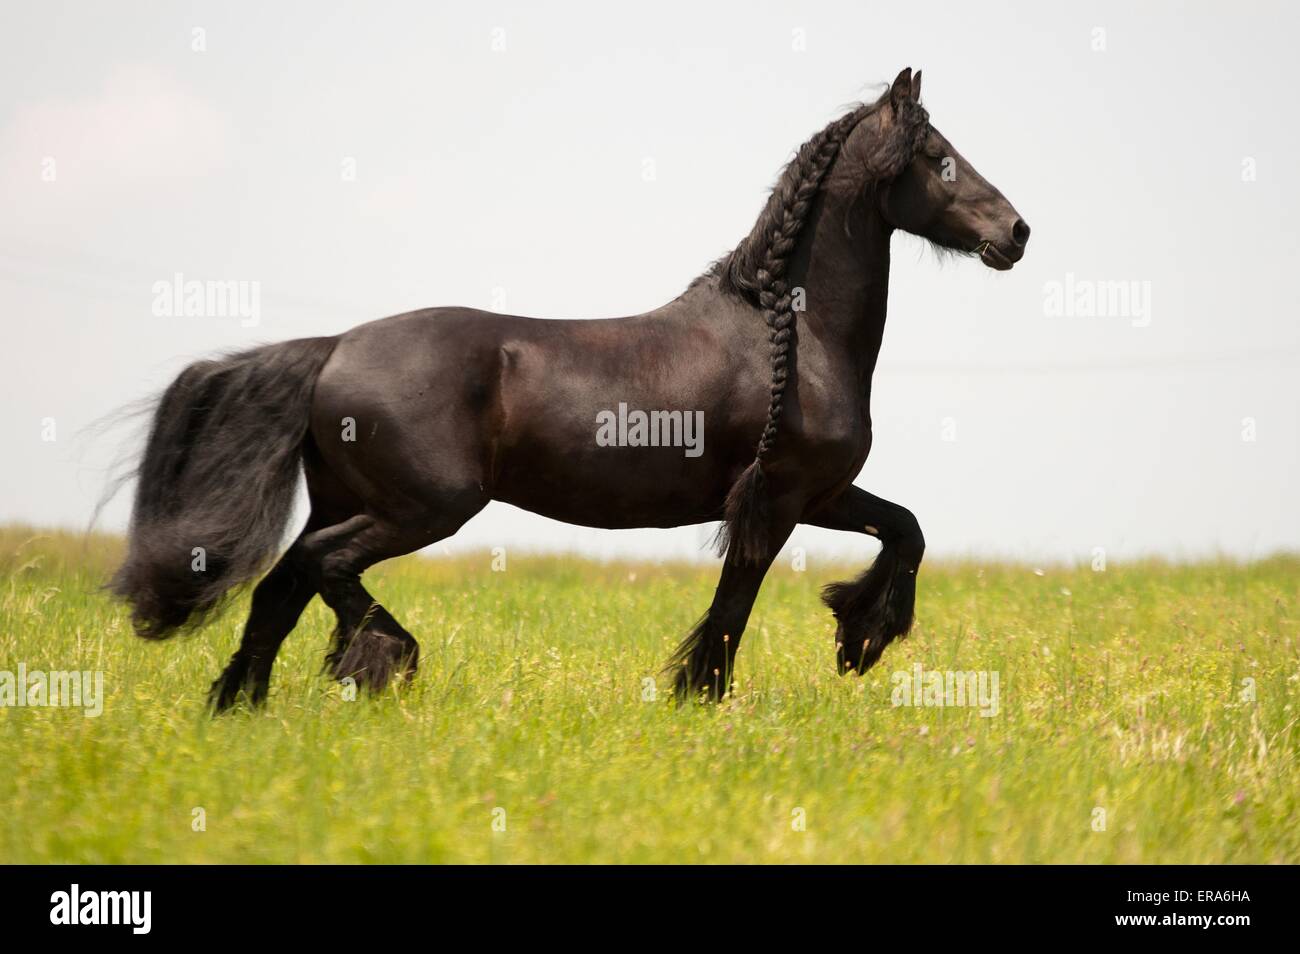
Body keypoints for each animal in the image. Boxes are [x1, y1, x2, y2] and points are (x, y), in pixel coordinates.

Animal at [108, 68, 1029, 712]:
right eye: (942, 160)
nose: (1016, 232)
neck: (788, 337)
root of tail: (334, 348)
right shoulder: (778, 499)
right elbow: (736, 602)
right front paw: (709, 694)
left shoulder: (823, 493)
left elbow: (905, 528)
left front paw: (858, 637)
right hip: (421, 508)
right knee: (321, 568)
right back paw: (386, 659)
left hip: (348, 497)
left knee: (282, 587)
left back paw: (240, 709)